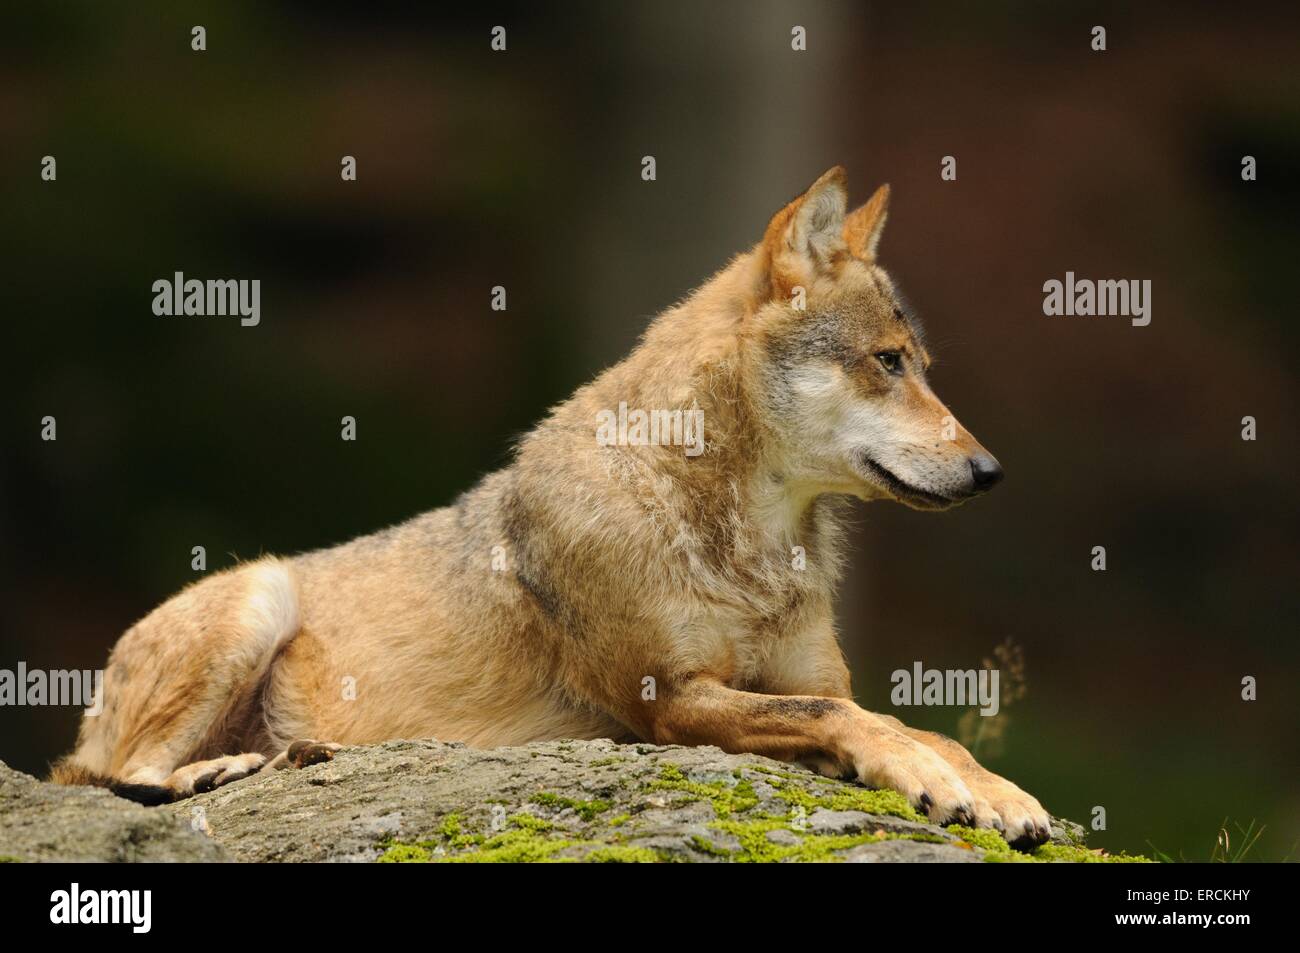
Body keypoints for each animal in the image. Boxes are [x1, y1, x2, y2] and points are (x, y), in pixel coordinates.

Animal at [51, 167, 1050, 848]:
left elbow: (912, 722)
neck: (741, 541)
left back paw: (291, 755)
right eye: (888, 362)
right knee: (108, 776)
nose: (992, 469)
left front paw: (999, 792)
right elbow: (852, 722)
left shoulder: (807, 678)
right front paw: (928, 777)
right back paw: (215, 769)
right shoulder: (670, 706)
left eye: (922, 366)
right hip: (258, 596)